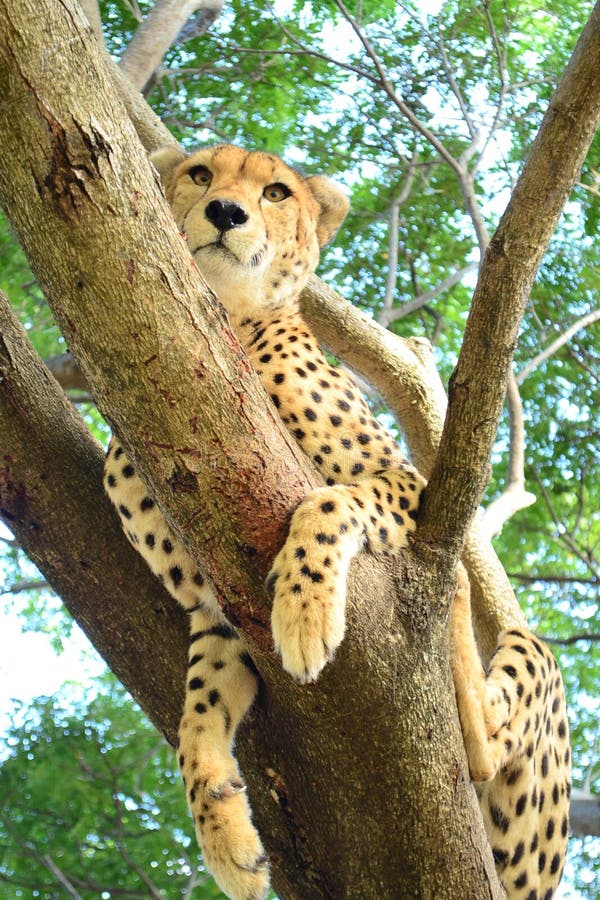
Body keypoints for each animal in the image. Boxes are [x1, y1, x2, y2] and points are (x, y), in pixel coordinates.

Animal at [103, 143, 570, 900]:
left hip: (531, 684)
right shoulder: (215, 610)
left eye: (274, 192)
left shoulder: (408, 487)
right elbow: (196, 718)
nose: (225, 212)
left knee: (494, 709)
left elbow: (329, 501)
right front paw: (225, 836)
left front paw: (304, 612)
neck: (226, 325)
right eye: (201, 174)